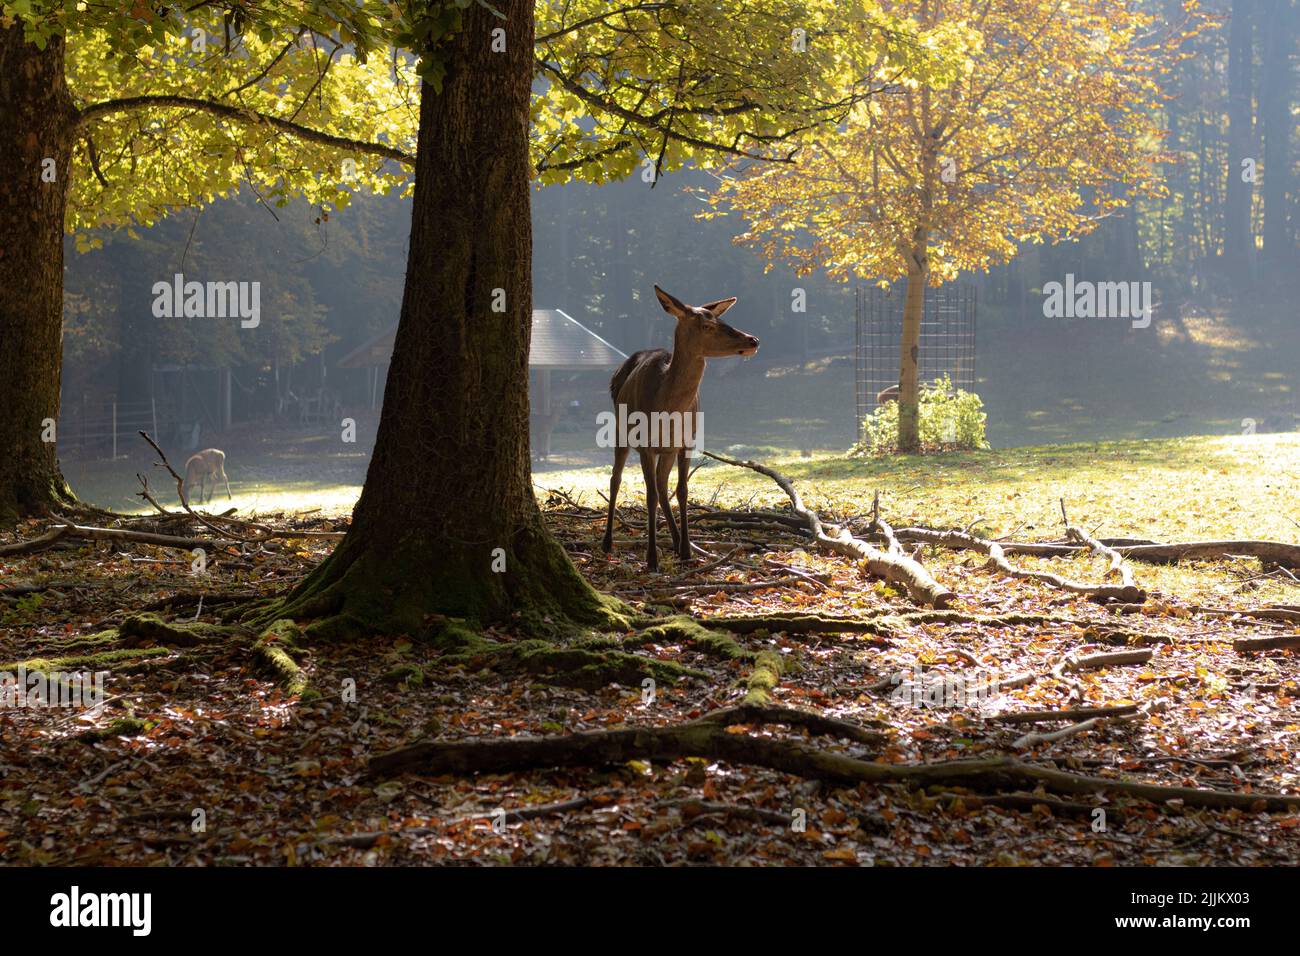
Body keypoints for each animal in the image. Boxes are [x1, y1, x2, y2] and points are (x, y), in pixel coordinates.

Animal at [602, 285, 759, 571]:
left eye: (720, 318)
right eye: (707, 325)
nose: (753, 340)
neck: (667, 409)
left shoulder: (688, 441)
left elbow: (682, 491)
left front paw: (686, 550)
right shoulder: (645, 444)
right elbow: (650, 495)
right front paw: (652, 559)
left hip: (667, 450)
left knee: (663, 484)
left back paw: (676, 542)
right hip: (621, 432)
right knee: (616, 480)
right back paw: (607, 542)